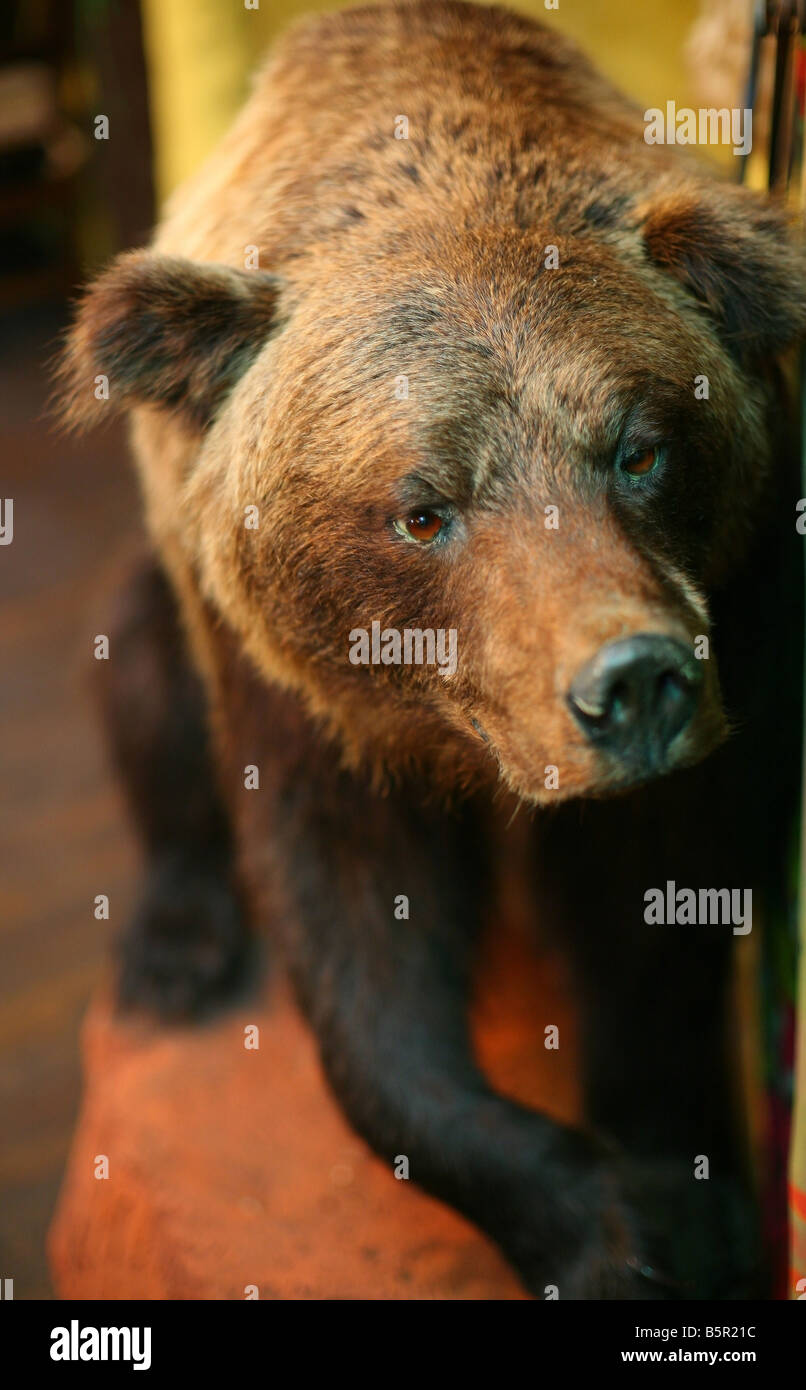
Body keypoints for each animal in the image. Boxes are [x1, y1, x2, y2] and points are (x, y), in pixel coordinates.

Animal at [59, 0, 806, 1299]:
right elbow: (363, 965)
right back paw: (173, 948)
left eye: (639, 449)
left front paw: (686, 1200)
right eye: (422, 509)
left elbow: (659, 924)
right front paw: (599, 1229)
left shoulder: (742, 626)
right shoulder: (295, 694)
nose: (632, 683)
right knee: (141, 688)